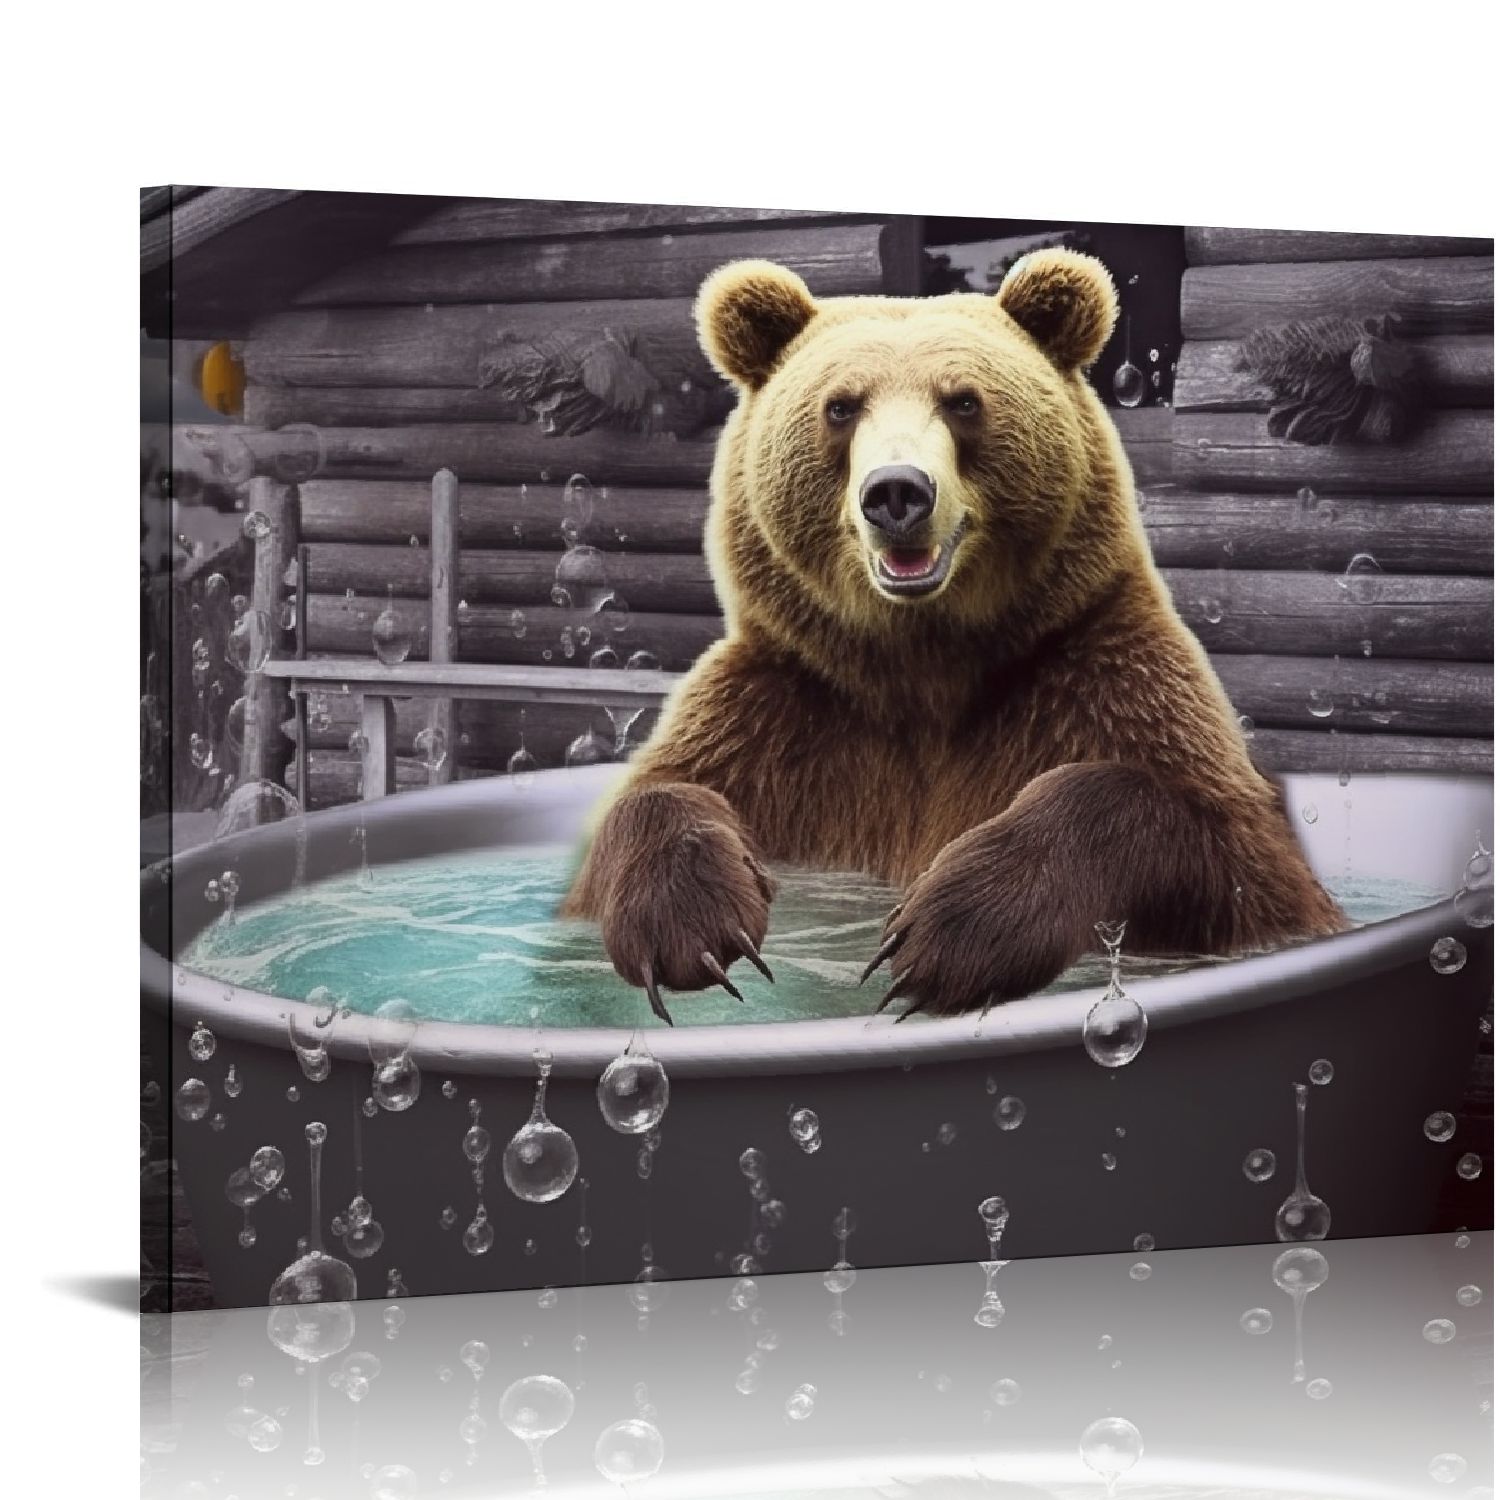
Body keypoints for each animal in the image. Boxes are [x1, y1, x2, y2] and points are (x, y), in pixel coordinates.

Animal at [562, 249, 1346, 1024]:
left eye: (964, 400)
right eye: (841, 406)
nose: (896, 492)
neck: (922, 667)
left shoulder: (1088, 678)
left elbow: (1230, 850)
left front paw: (945, 932)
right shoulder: (792, 723)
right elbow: (663, 791)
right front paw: (687, 923)